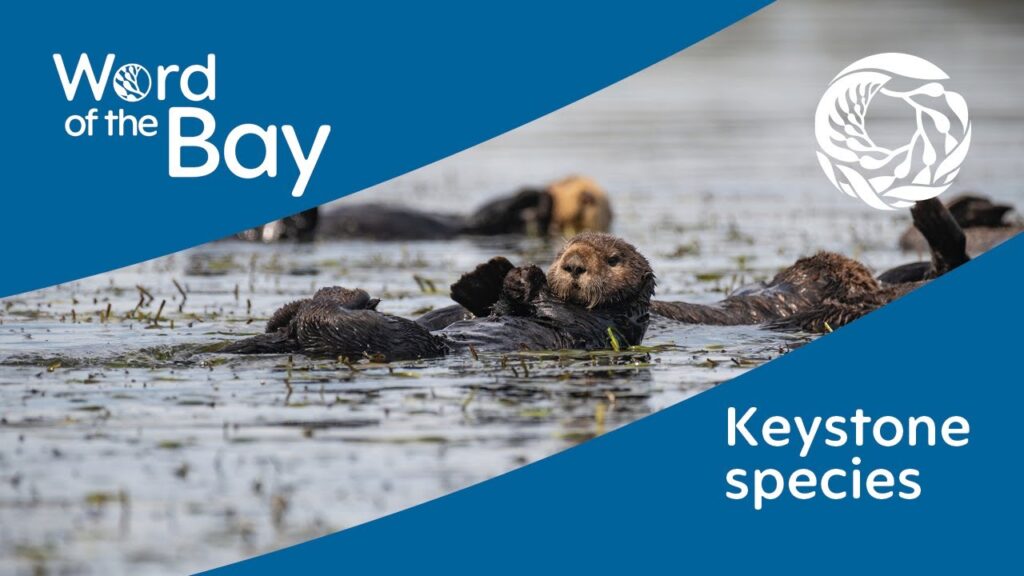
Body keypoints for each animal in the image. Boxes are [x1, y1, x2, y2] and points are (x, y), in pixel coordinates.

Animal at [222, 233, 654, 360]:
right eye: (564, 251)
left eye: (613, 260)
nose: (574, 264)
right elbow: (502, 306)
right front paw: (503, 275)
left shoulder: (598, 324)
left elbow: (549, 310)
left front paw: (524, 278)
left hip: (395, 339)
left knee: (324, 314)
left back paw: (357, 296)